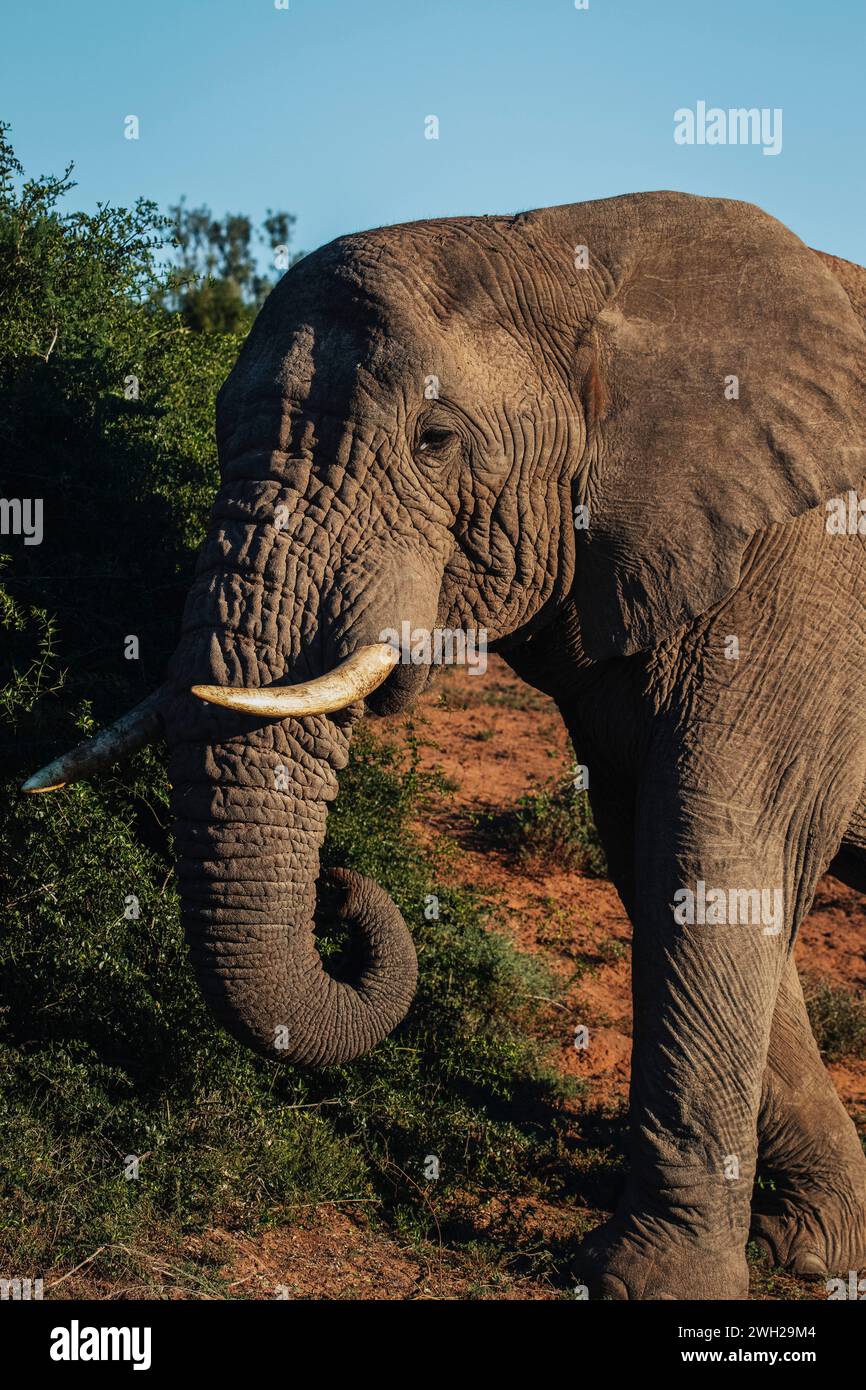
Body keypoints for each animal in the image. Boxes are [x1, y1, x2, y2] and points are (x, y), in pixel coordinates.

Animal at [23, 190, 866, 1300]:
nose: (339, 886)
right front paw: (804, 1249)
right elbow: (659, 858)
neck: (570, 251)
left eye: (434, 440)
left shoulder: (810, 571)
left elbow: (713, 849)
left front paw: (641, 1284)